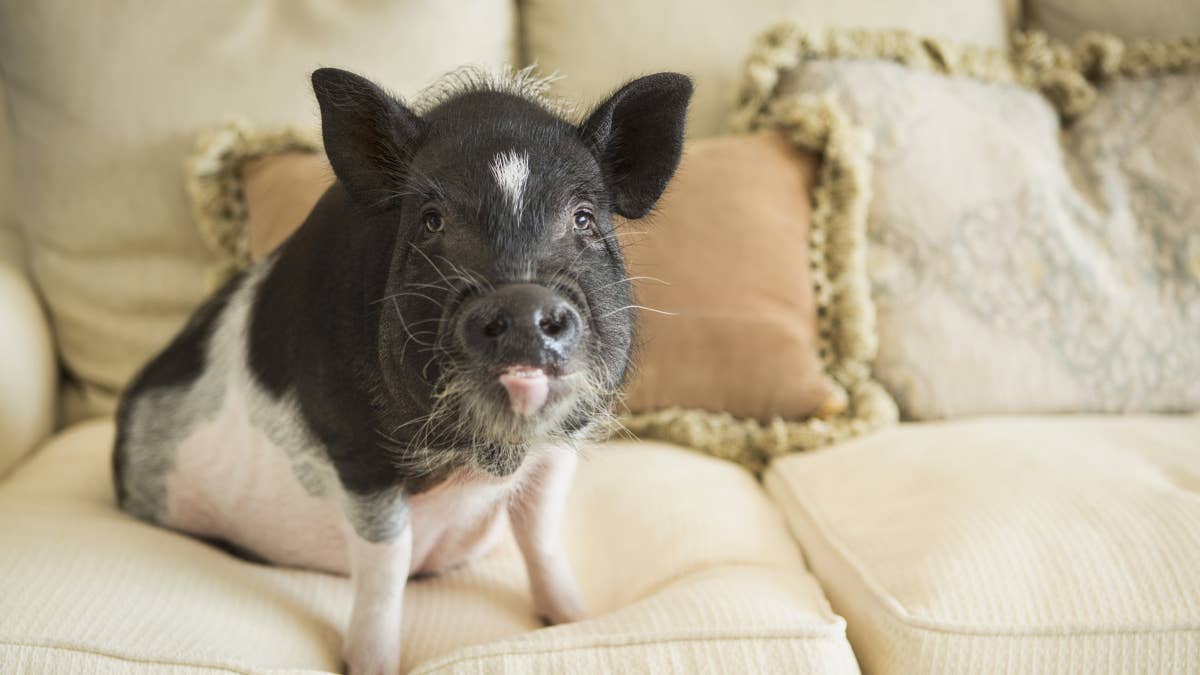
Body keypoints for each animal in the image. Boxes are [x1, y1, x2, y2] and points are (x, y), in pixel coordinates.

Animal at [112, 66, 692, 674]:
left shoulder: (562, 442)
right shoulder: (356, 447)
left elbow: (541, 535)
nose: (522, 303)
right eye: (431, 220)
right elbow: (386, 563)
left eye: (583, 218)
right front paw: (372, 665)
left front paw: (578, 619)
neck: (482, 459)